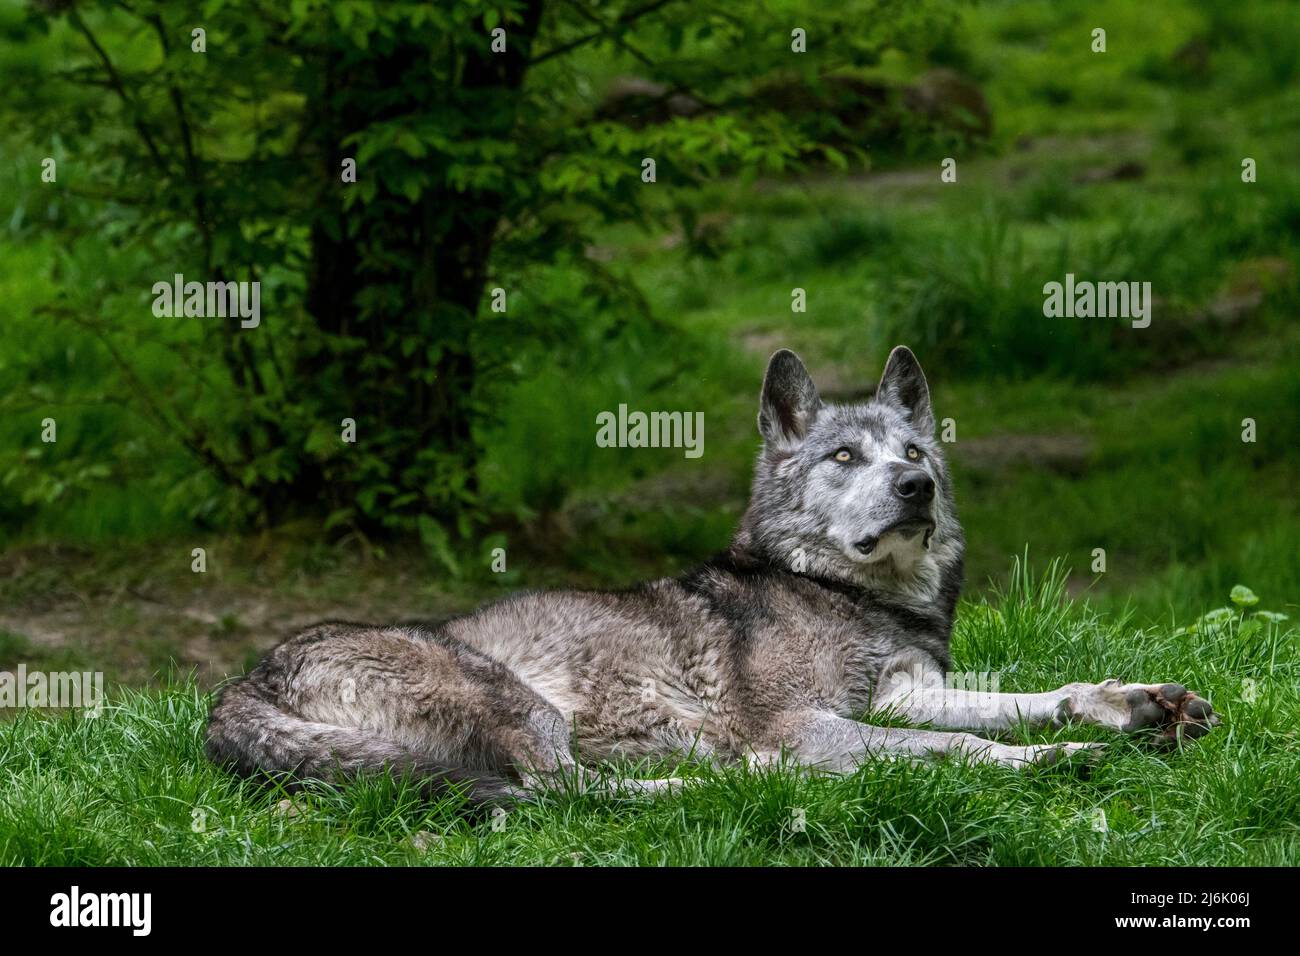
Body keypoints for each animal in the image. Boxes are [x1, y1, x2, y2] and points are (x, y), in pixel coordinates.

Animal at [206, 347, 1217, 804]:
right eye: (844, 456)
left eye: (914, 451)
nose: (917, 487)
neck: (845, 593)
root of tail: (233, 689)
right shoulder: (812, 725)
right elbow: (966, 748)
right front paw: (1058, 760)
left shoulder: (906, 694)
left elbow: (1035, 696)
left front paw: (1135, 706)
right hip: (516, 701)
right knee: (560, 794)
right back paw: (738, 786)